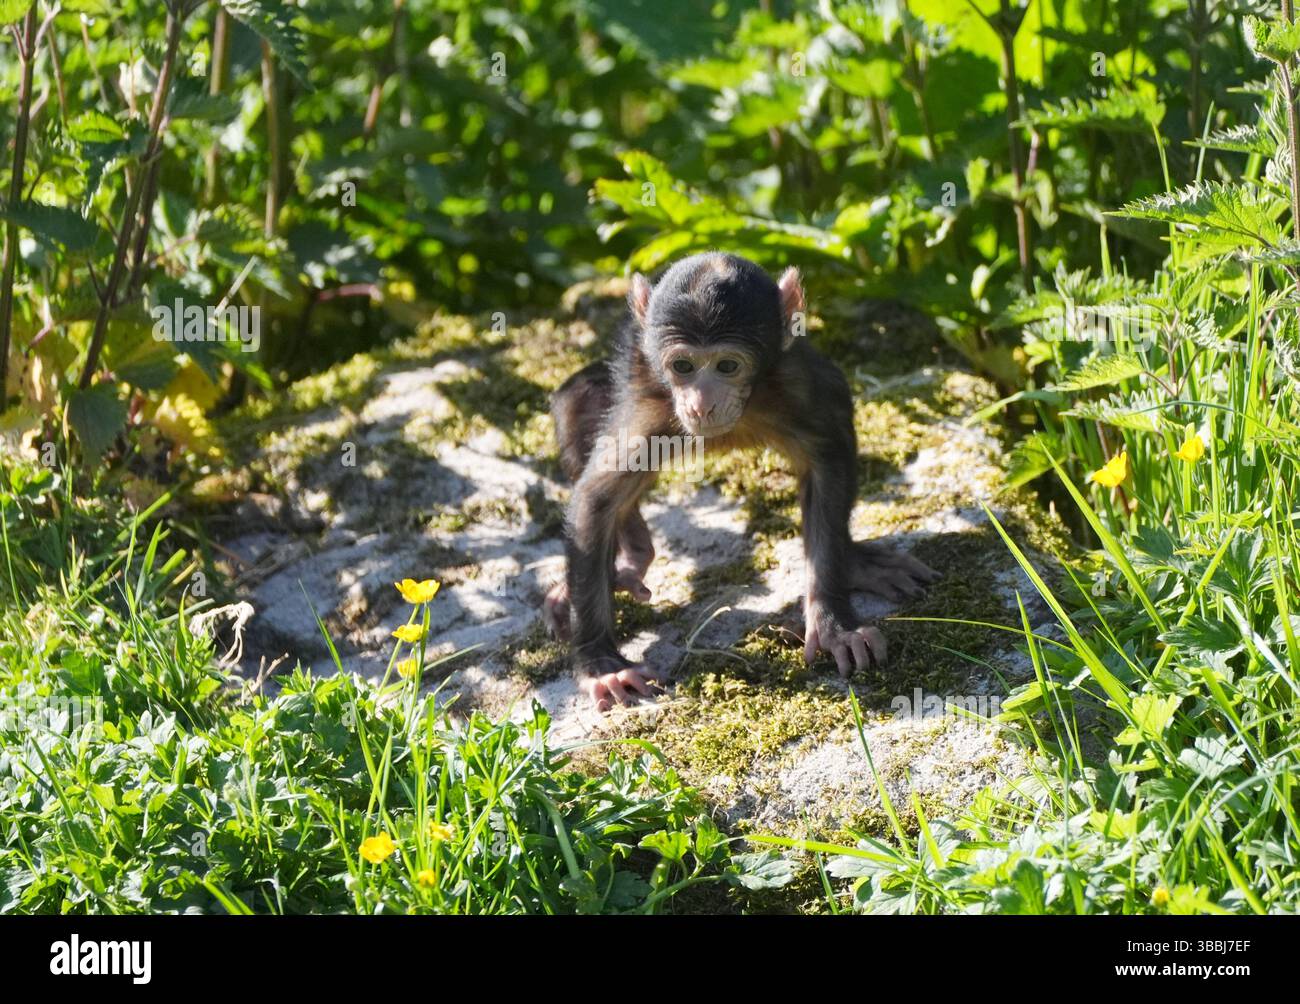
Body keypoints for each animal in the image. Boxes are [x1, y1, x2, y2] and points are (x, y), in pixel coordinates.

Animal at [544, 252, 939, 711]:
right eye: (683, 366)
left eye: (727, 365)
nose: (701, 405)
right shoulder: (650, 406)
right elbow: (596, 499)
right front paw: (602, 664)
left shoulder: (794, 380)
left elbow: (829, 456)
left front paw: (834, 623)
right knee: (578, 401)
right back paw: (630, 558)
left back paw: (855, 560)